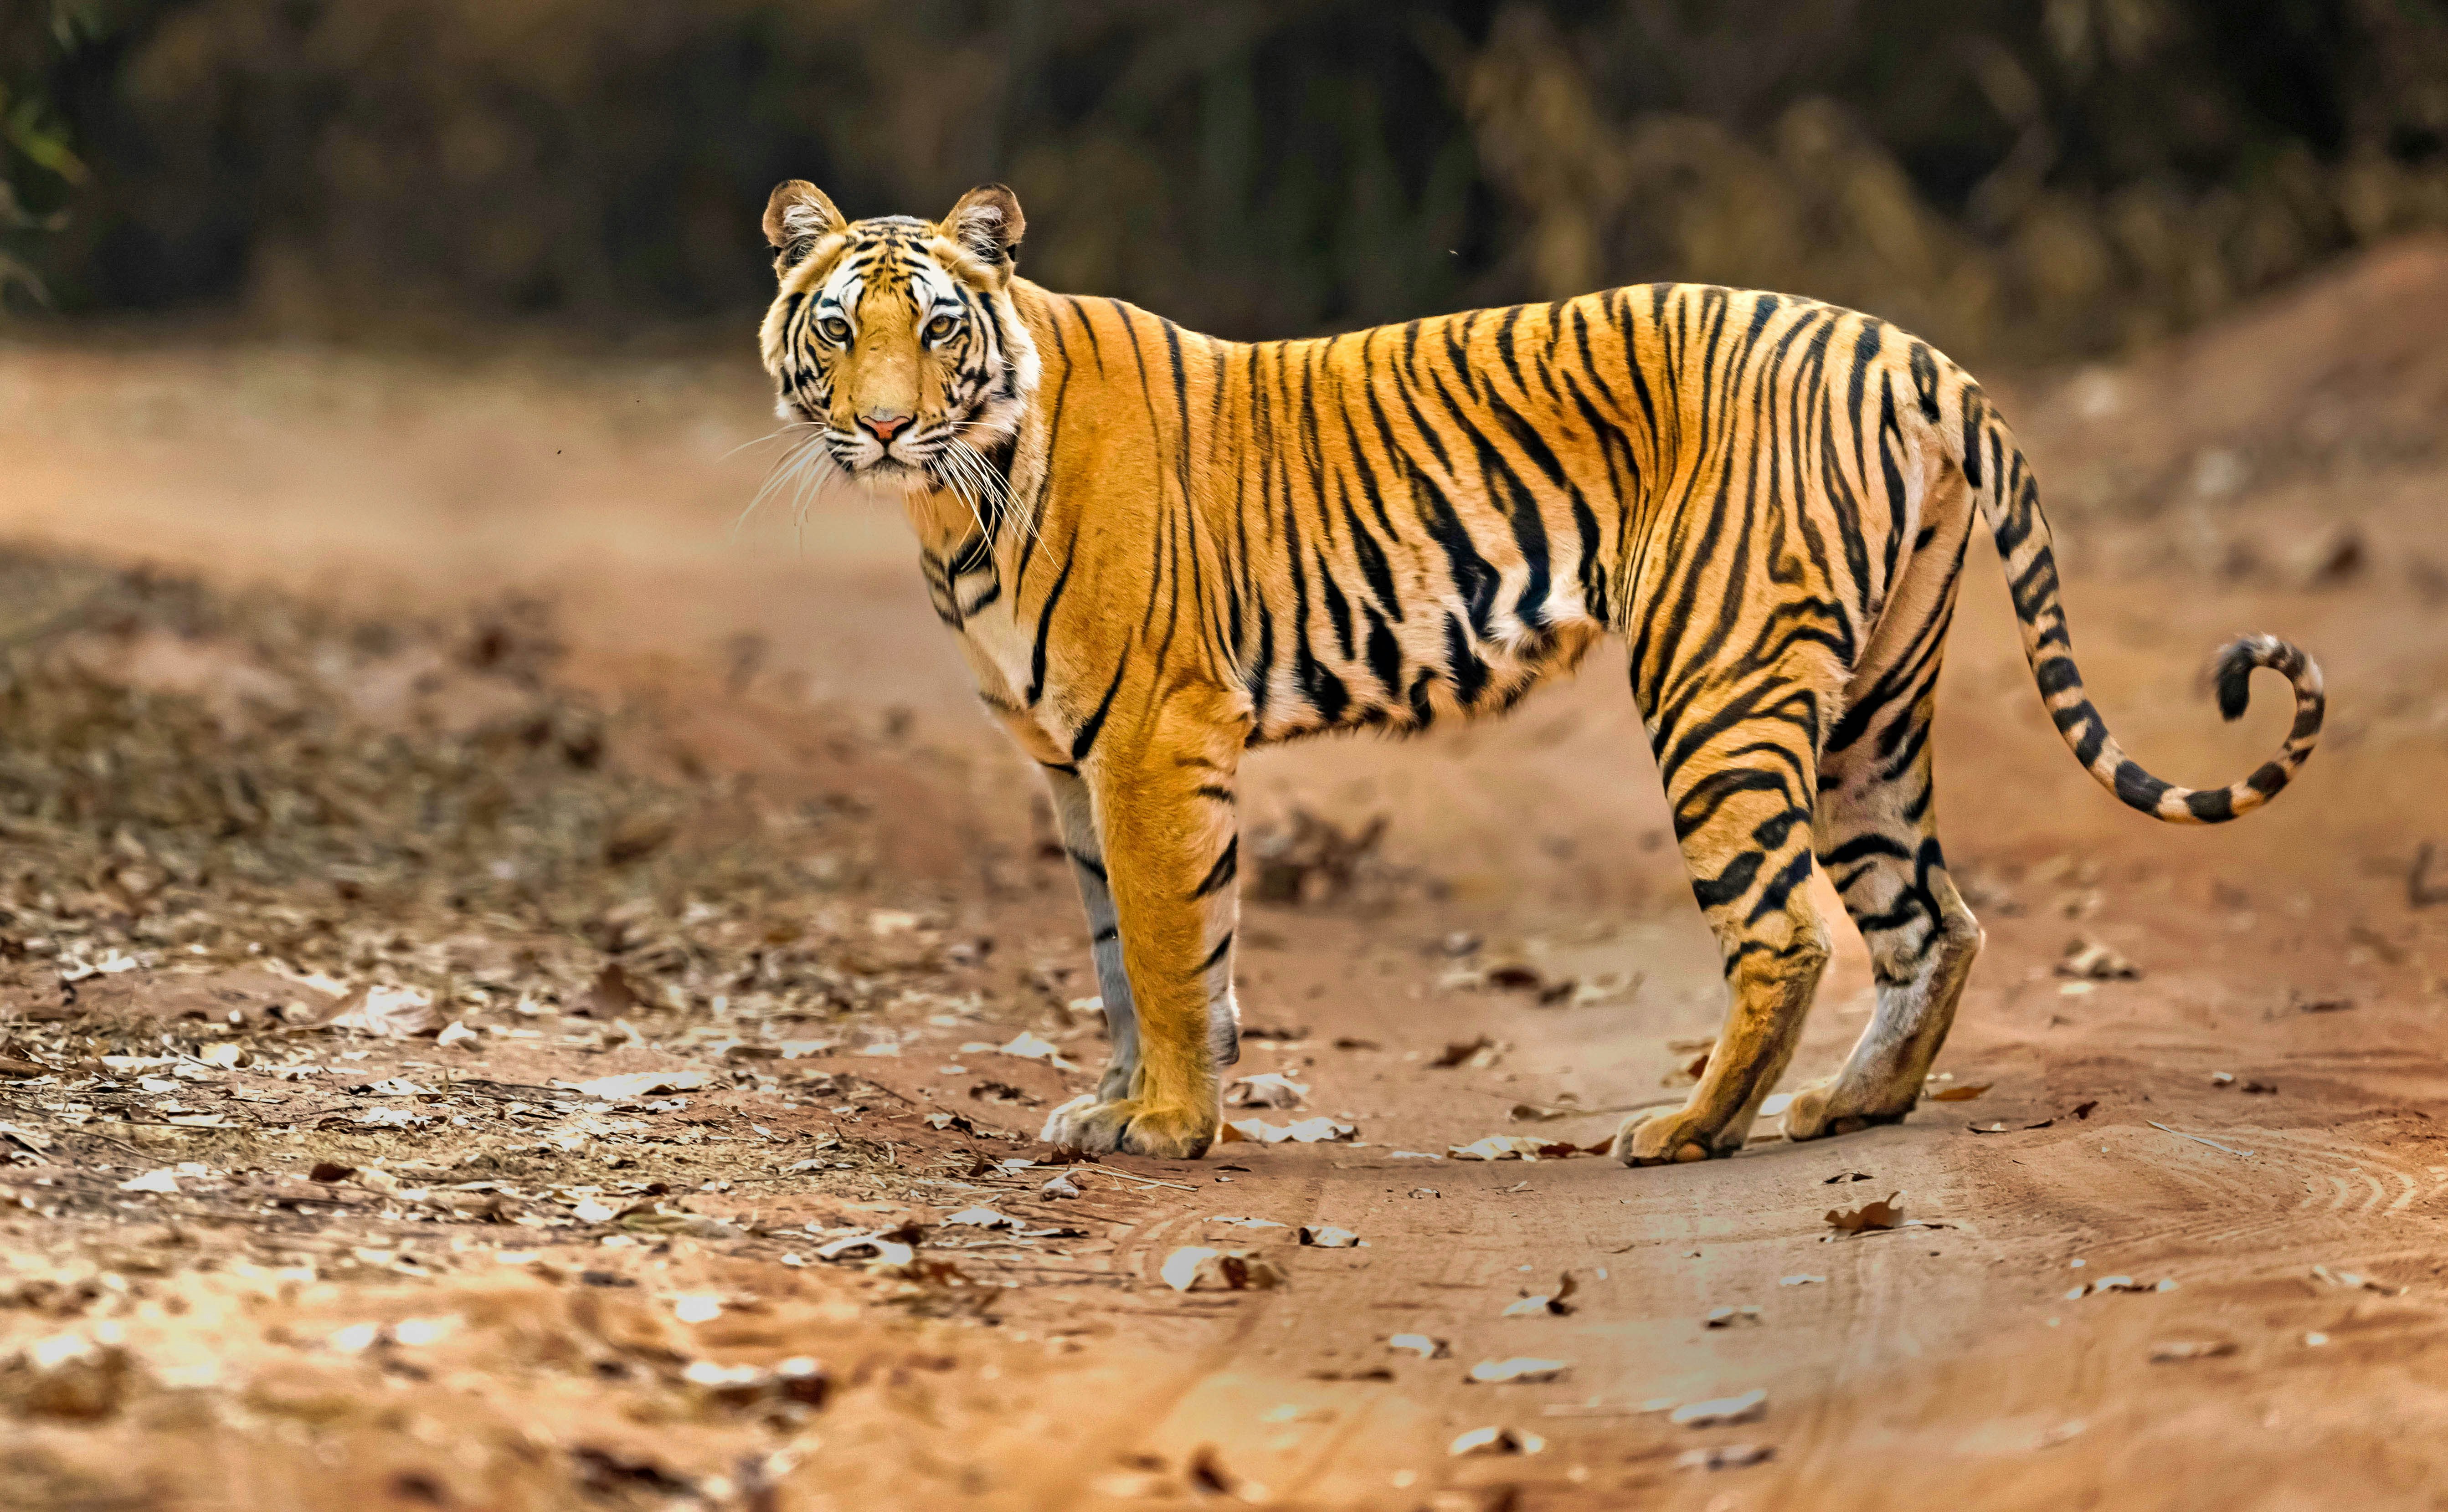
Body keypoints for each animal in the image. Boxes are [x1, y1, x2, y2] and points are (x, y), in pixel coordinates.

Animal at [755, 179, 2324, 1163]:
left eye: (935, 325)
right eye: (838, 326)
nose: (882, 427)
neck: (953, 496)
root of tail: (1905, 349)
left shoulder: (1151, 737)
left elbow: (1164, 946)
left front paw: (1169, 1128)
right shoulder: (1067, 761)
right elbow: (1107, 958)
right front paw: (1110, 1107)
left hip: (1714, 682)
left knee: (1786, 927)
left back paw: (1688, 1130)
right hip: (1873, 710)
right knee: (1929, 915)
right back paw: (1846, 1109)